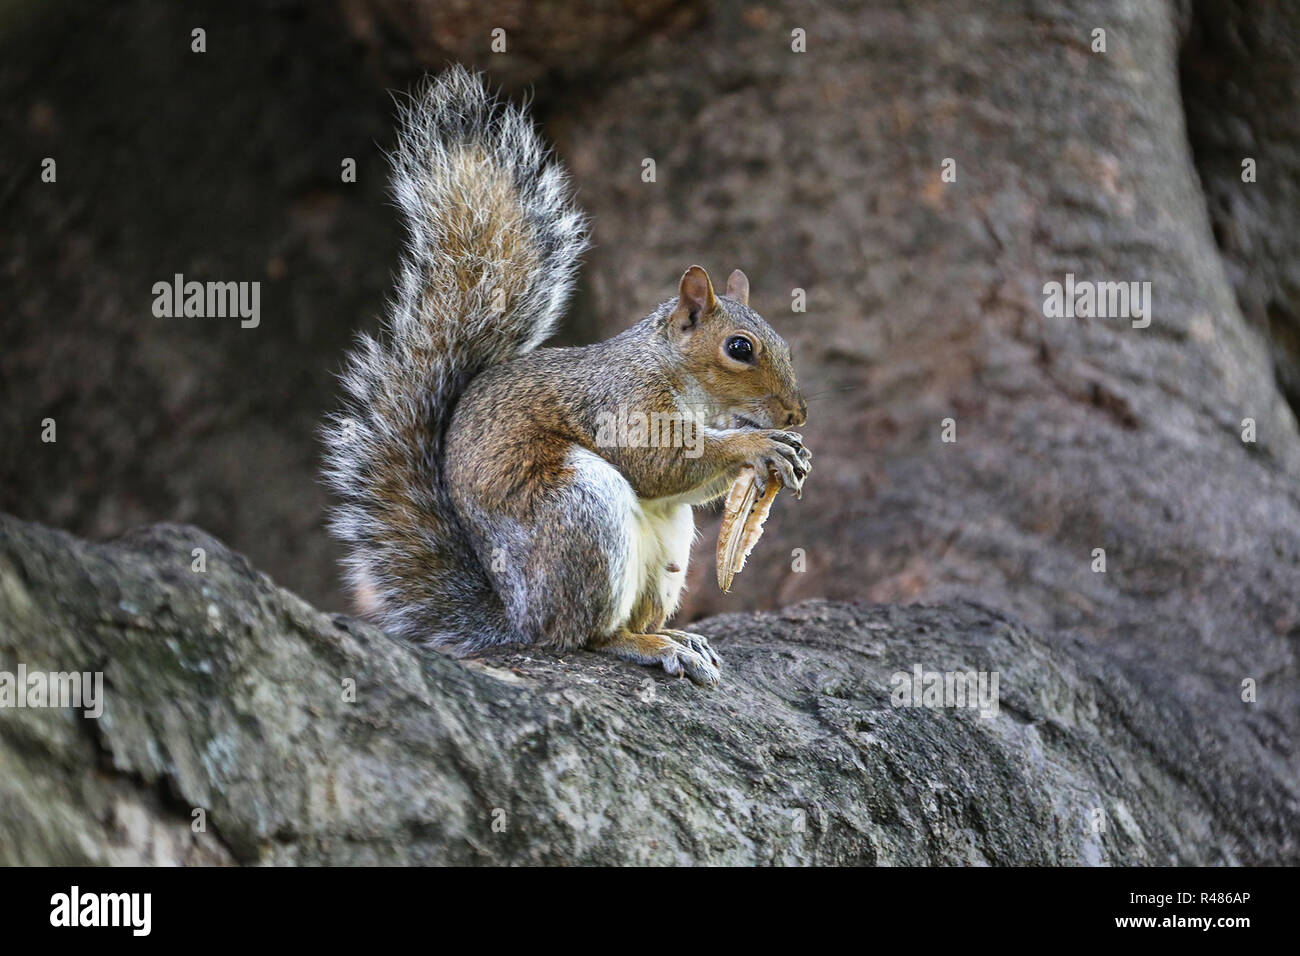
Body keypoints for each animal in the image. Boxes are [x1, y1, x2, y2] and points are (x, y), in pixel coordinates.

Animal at [323, 67, 811, 686]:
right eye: (739, 348)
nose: (797, 414)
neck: (672, 372)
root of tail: (517, 618)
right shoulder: (619, 401)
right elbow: (657, 462)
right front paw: (758, 444)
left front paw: (786, 448)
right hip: (581, 512)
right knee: (584, 637)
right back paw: (645, 645)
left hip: (667, 548)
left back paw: (673, 636)